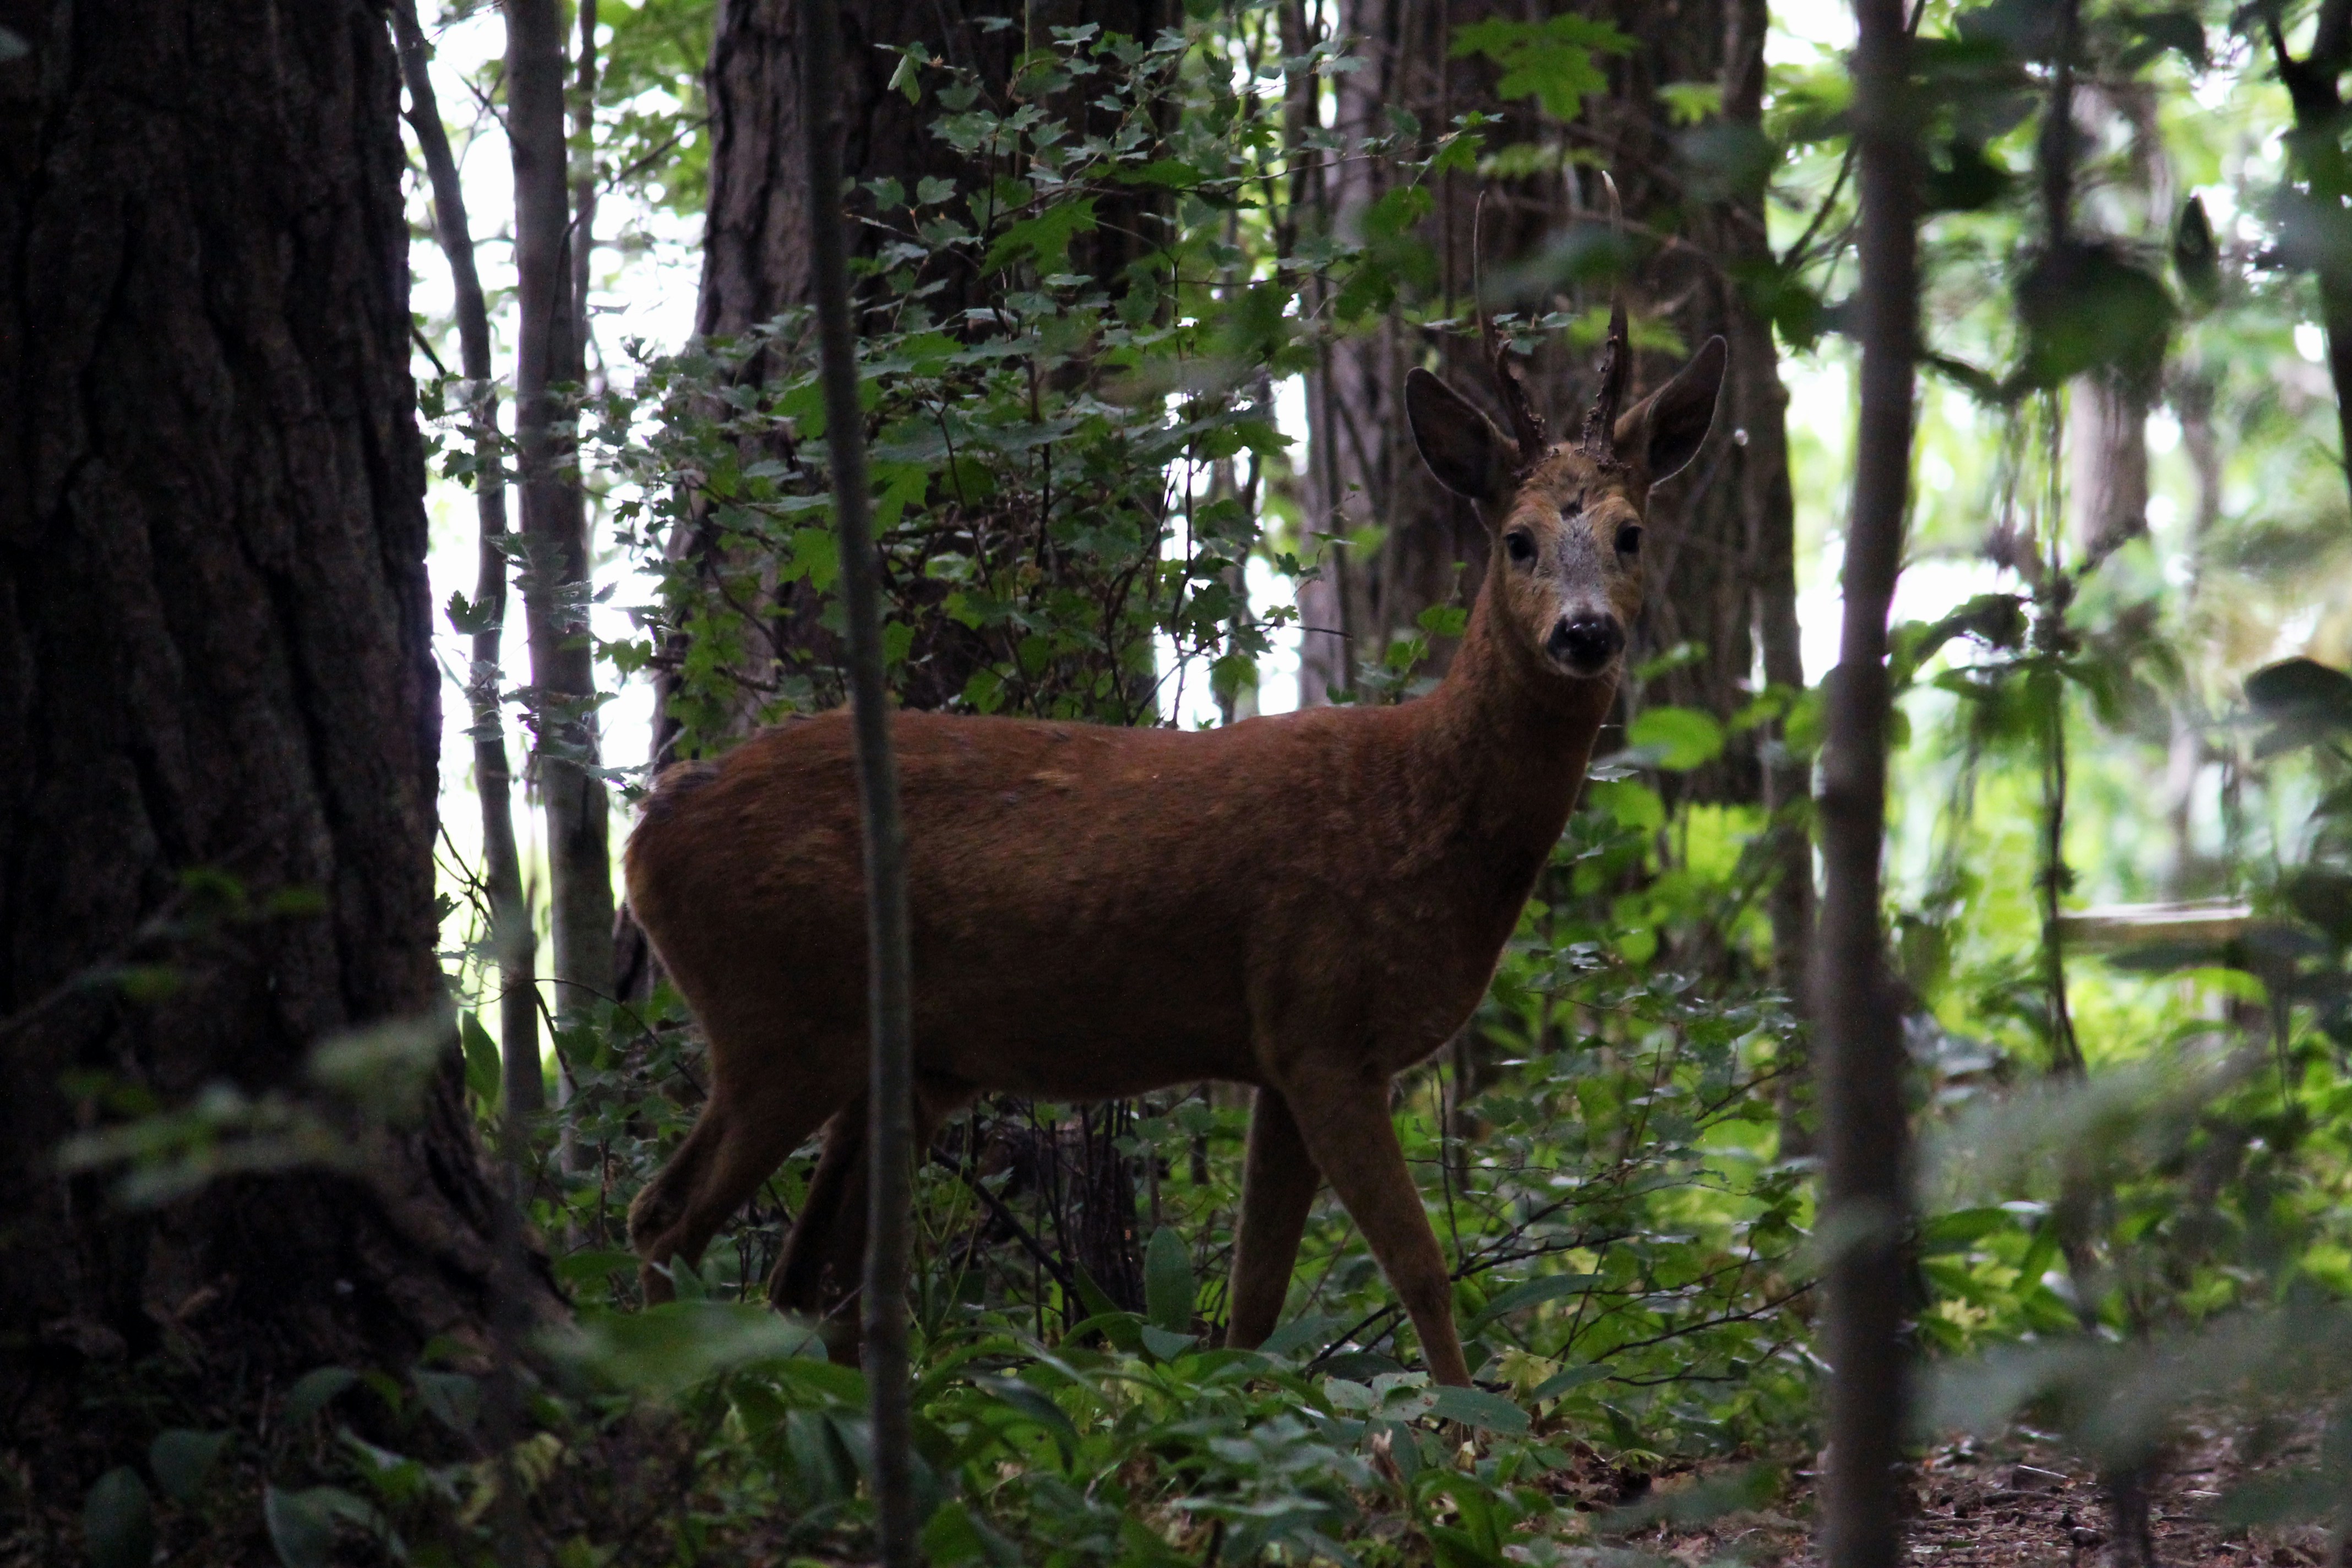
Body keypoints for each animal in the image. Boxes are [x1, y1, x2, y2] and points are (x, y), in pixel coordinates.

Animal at [623, 295, 1727, 1389]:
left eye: (1630, 533)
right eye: (1517, 539)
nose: (1584, 633)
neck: (1419, 813)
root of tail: (649, 828)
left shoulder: (1284, 1054)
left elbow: (1253, 1303)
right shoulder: (1324, 1027)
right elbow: (1420, 1267)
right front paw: (1466, 1428)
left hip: (895, 1062)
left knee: (803, 1279)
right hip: (779, 1016)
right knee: (666, 1219)